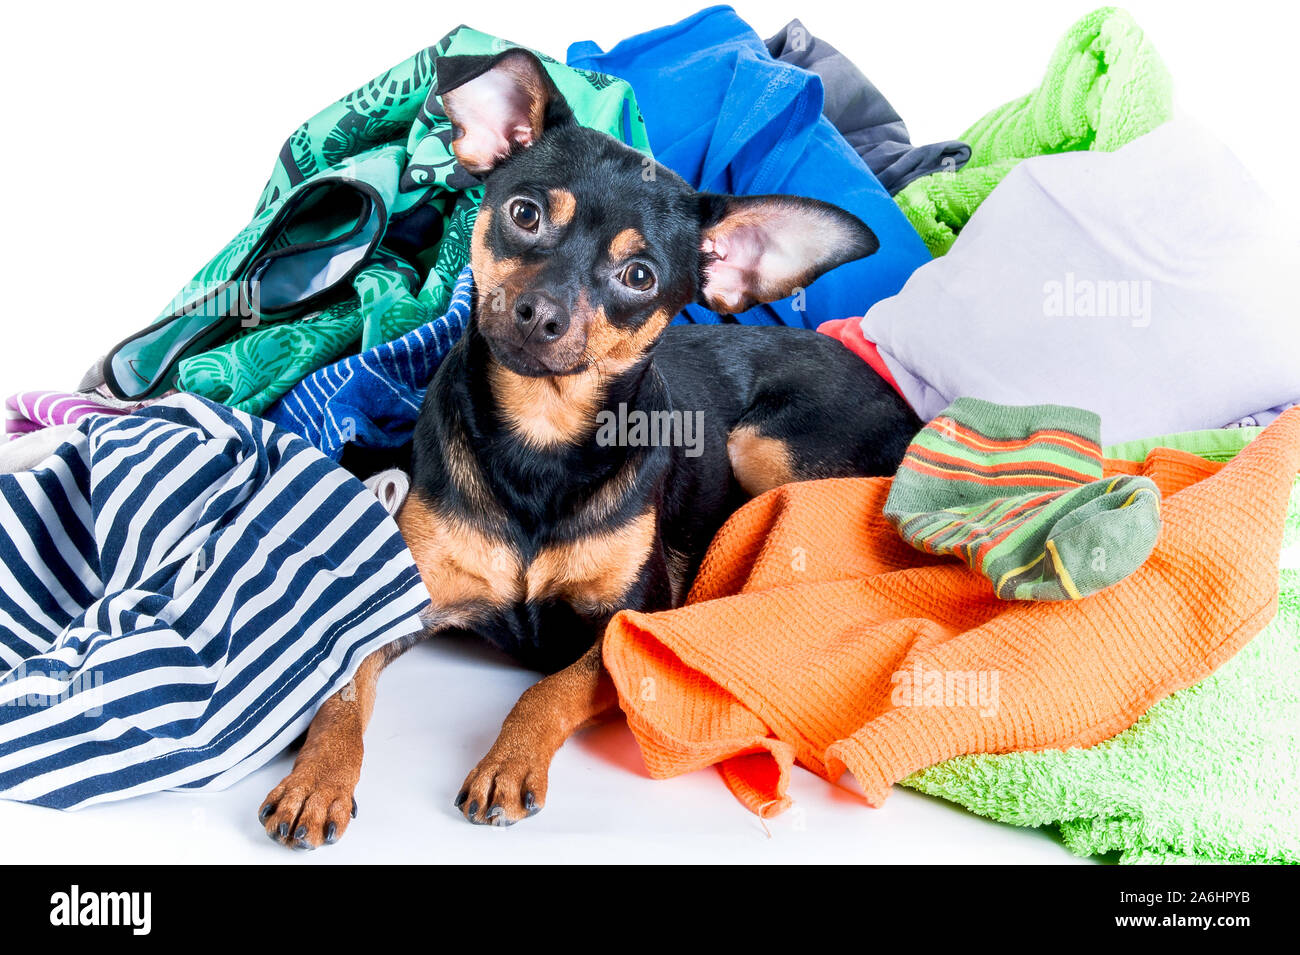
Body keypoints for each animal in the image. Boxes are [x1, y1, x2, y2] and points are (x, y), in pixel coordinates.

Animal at [256, 46, 925, 852]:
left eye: (640, 276)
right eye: (525, 213)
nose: (538, 312)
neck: (539, 443)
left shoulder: (620, 629)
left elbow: (550, 688)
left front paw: (509, 763)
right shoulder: (401, 600)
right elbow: (341, 694)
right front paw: (317, 780)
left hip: (763, 444)